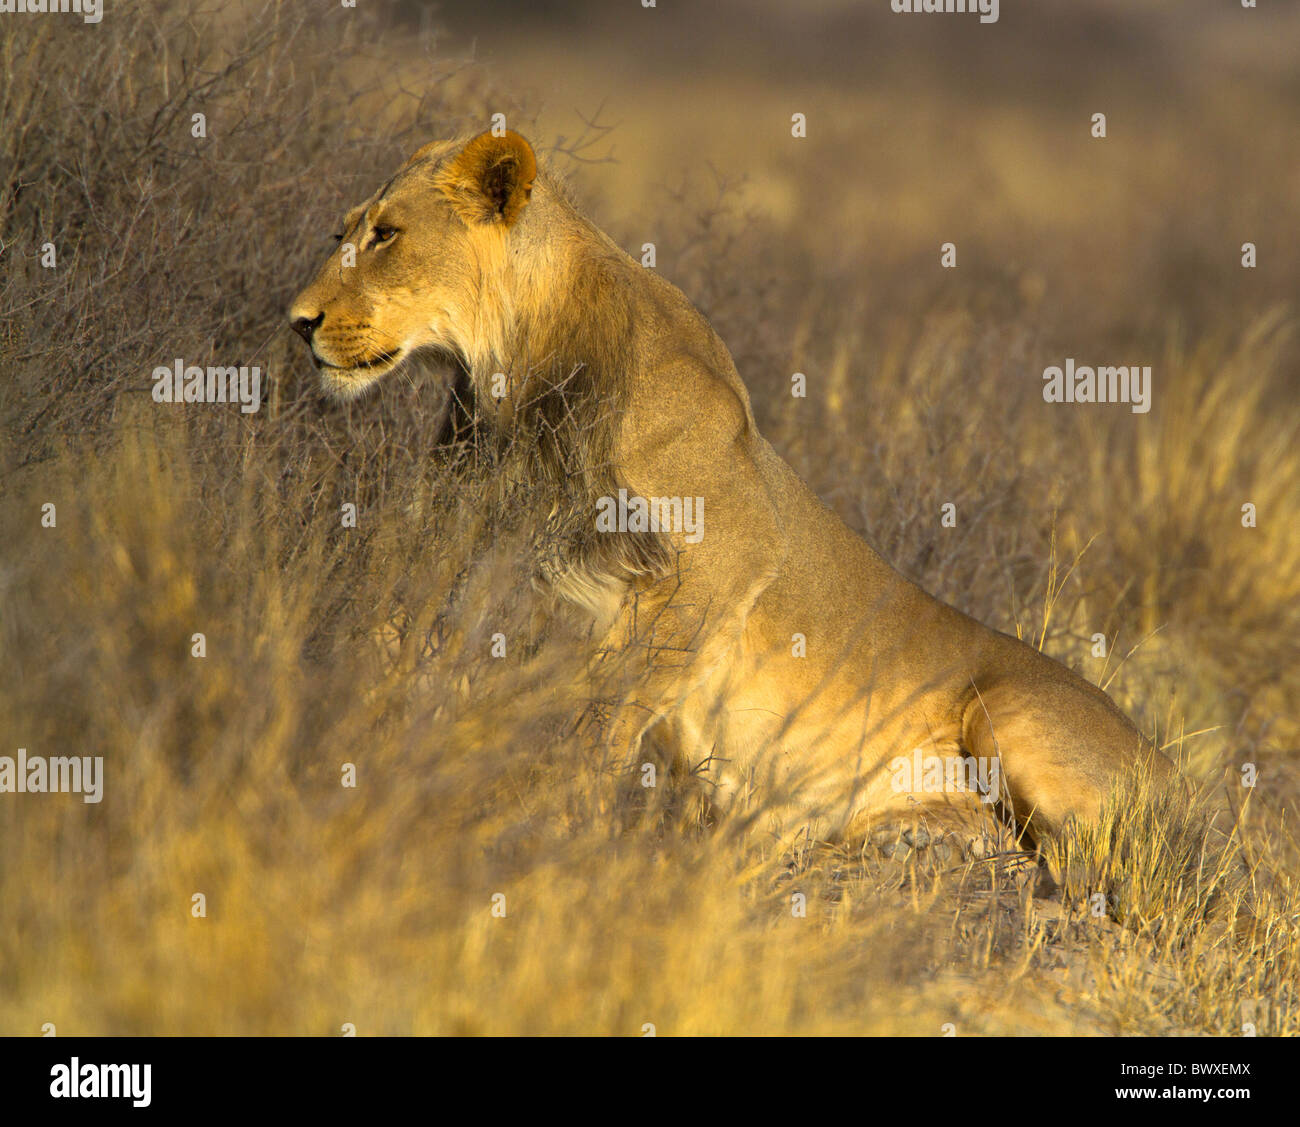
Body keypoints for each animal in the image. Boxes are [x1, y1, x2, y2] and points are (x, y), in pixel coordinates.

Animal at [289, 128, 1176, 866]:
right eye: (342, 232)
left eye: (386, 235)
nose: (297, 321)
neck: (516, 384)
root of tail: (1172, 767)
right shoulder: (464, 529)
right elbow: (399, 630)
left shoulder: (732, 547)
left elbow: (606, 699)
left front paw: (561, 810)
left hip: (1010, 711)